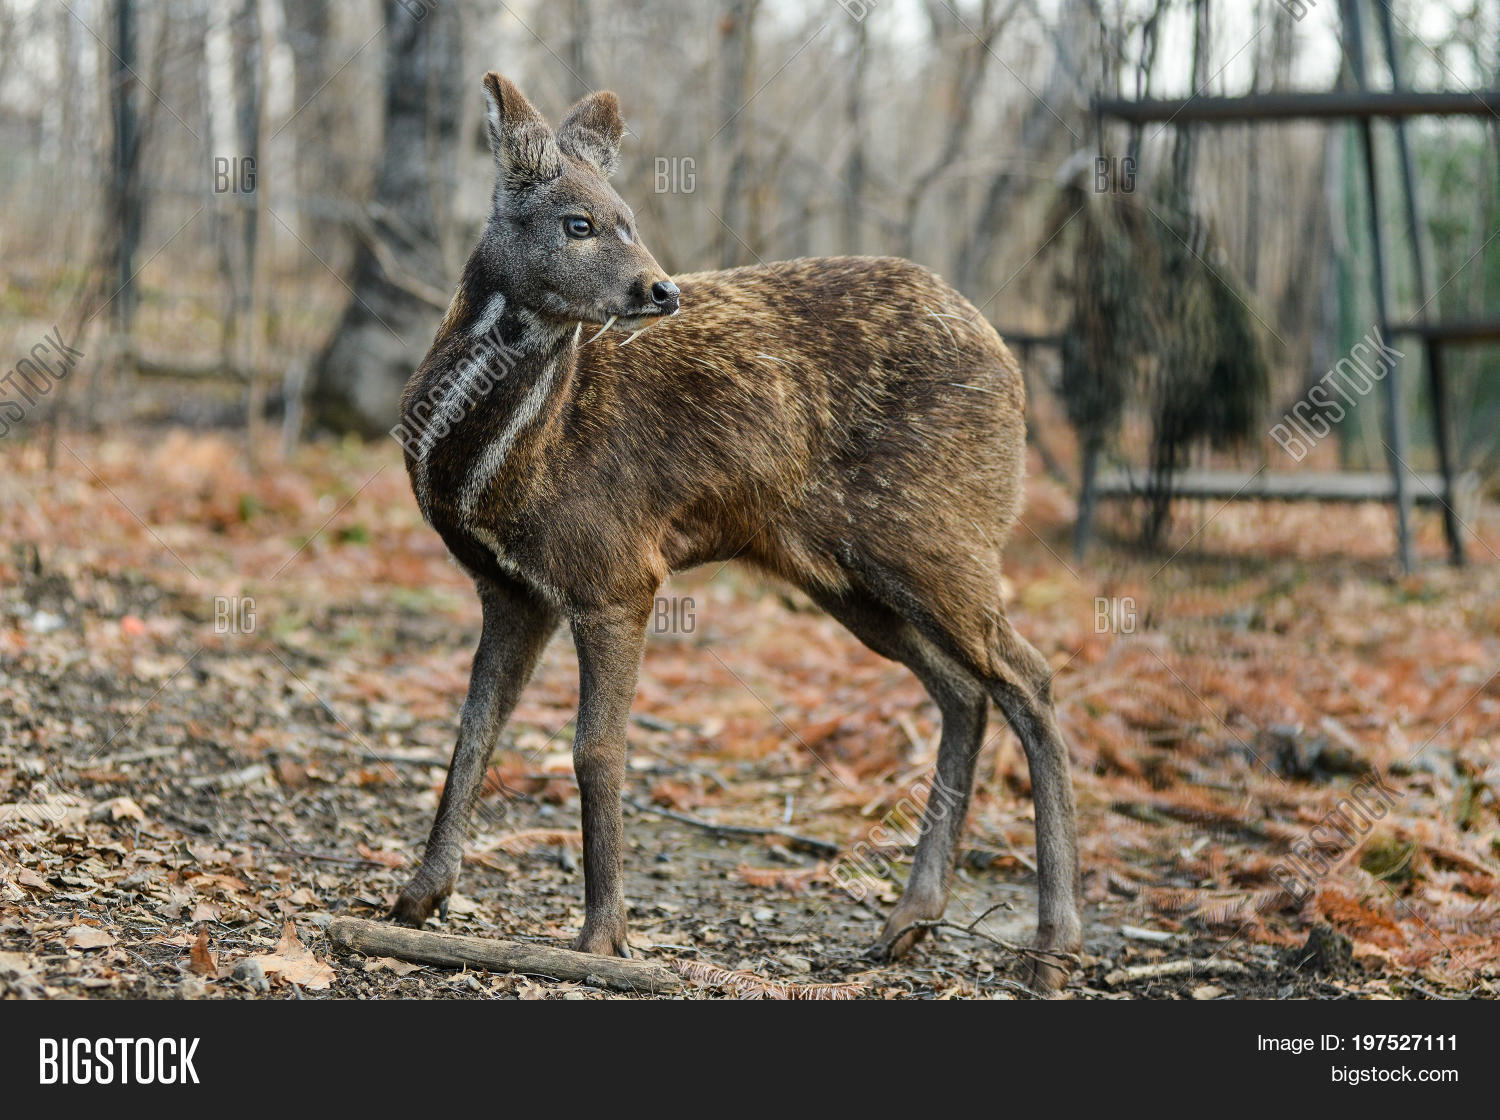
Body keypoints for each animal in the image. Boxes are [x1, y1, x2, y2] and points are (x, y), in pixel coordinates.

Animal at [388, 72, 1083, 990]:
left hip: (939, 535)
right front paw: (418, 897)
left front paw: (601, 938)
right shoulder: (511, 590)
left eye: (628, 216)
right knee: (965, 689)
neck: (498, 467)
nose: (660, 290)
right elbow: (473, 733)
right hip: (844, 572)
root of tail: (1010, 364)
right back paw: (908, 921)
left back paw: (1054, 945)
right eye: (578, 222)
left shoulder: (617, 570)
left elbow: (595, 748)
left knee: (1029, 677)